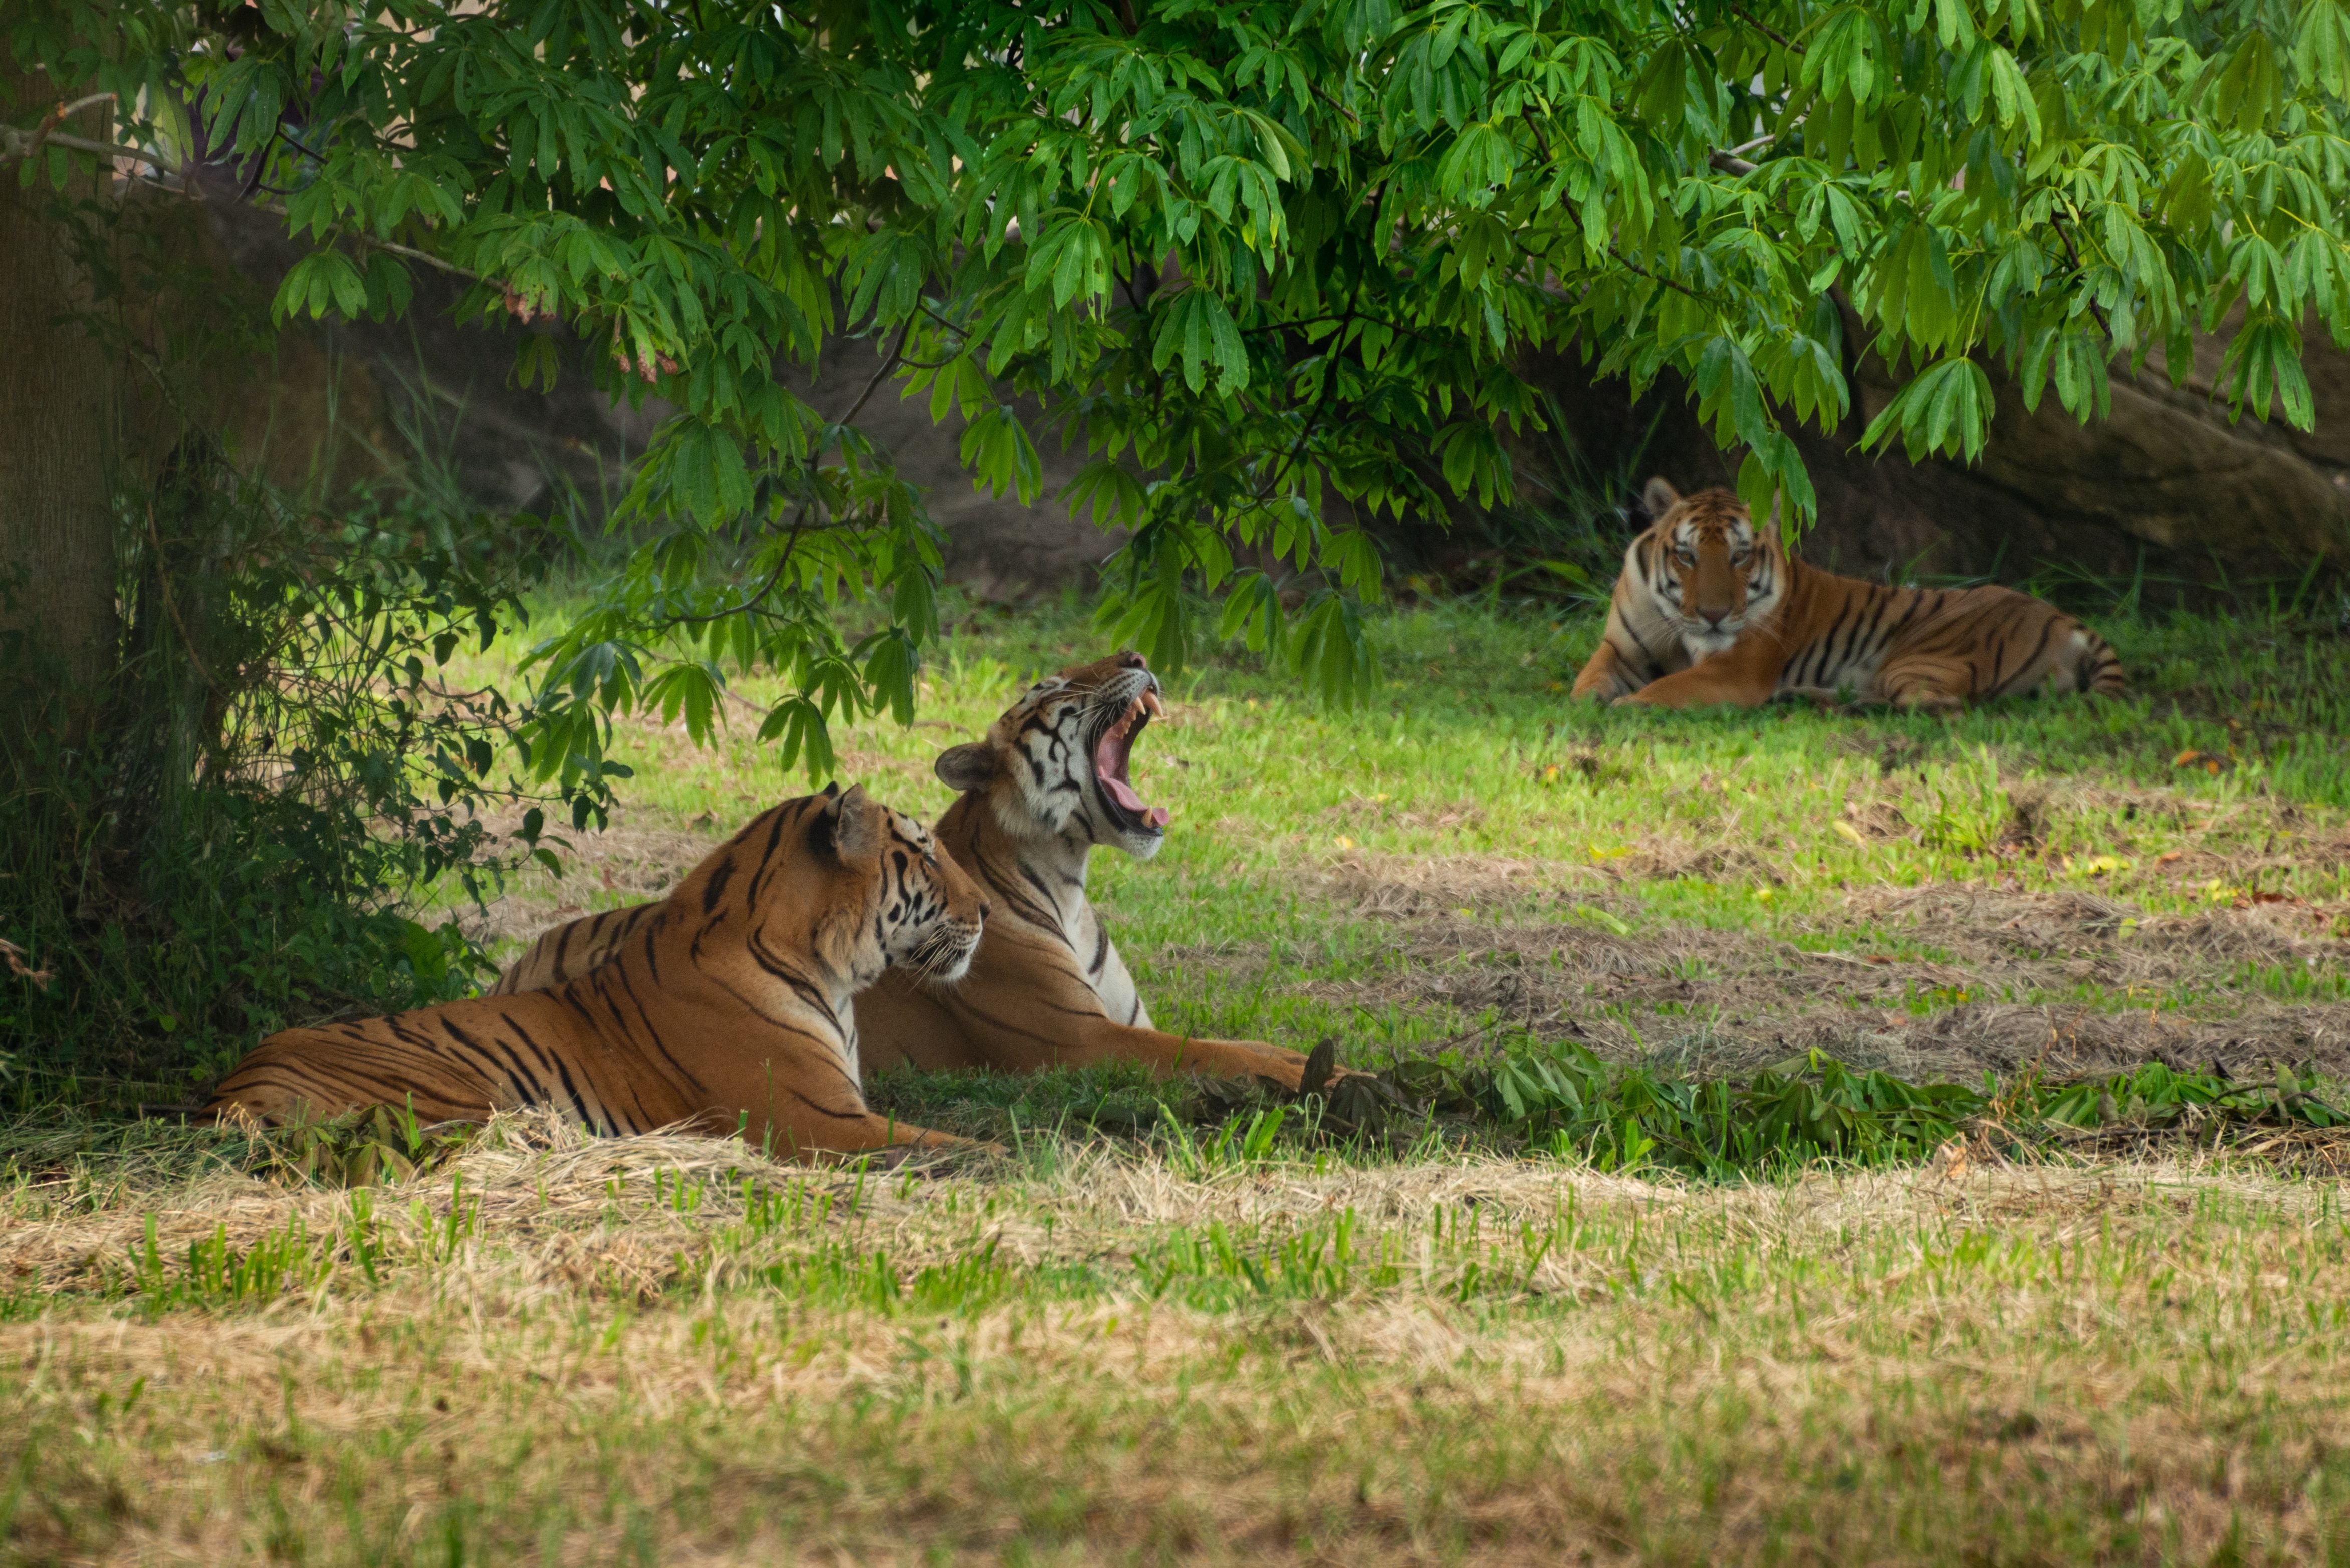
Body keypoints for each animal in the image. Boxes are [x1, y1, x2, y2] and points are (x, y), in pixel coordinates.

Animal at [208, 785, 994, 1160]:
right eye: (926, 852)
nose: (987, 908)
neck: (830, 970)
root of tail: (228, 1092)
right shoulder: (819, 1121)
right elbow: (967, 1145)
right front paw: (1018, 1162)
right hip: (459, 1094)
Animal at [490, 651, 1334, 1090]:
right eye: (1055, 687)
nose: (1136, 657)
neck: (1069, 876)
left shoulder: (1125, 1023)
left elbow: (1221, 1038)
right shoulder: (1080, 1043)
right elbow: (1221, 1050)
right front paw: (1307, 1067)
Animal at [1571, 478, 2125, 710]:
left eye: (1740, 556)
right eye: (1686, 557)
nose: (1712, 615)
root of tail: (2065, 620)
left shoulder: (1735, 670)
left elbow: (1666, 688)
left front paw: (1630, 705)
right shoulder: (1620, 648)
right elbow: (1586, 681)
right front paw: (1593, 700)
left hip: (1923, 656)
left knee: (1937, 707)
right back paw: (1806, 696)